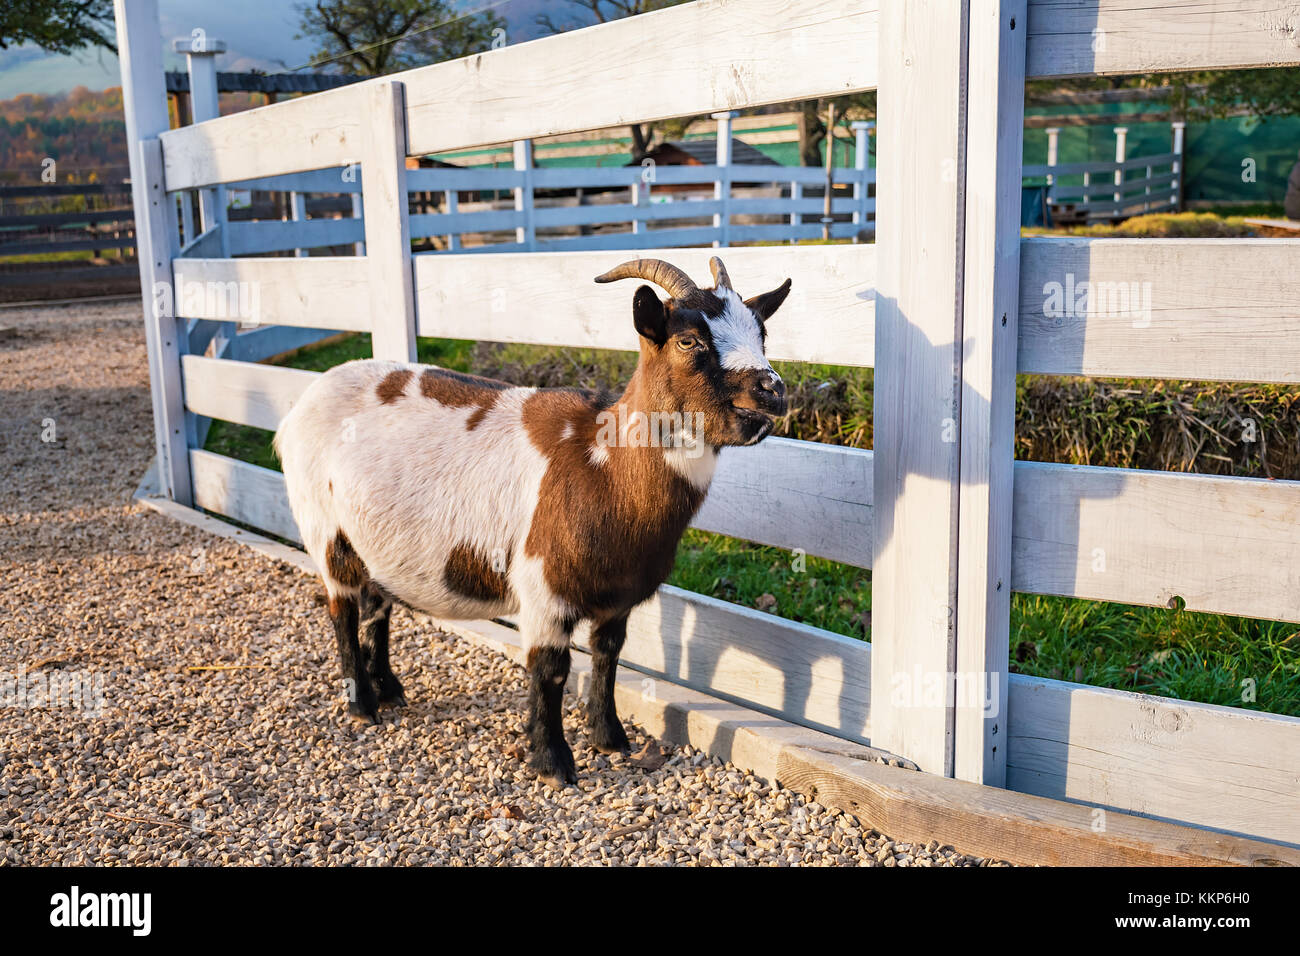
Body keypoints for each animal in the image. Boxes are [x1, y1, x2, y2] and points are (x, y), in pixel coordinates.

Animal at [273, 256, 791, 786]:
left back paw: (391, 689)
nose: (773, 390)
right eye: (689, 341)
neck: (600, 465)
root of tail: (309, 394)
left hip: (375, 538)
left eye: (762, 332)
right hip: (325, 528)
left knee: (378, 604)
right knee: (342, 608)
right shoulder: (544, 587)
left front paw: (610, 739)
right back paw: (363, 705)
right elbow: (551, 670)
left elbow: (608, 656)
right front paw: (552, 762)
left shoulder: (618, 596)